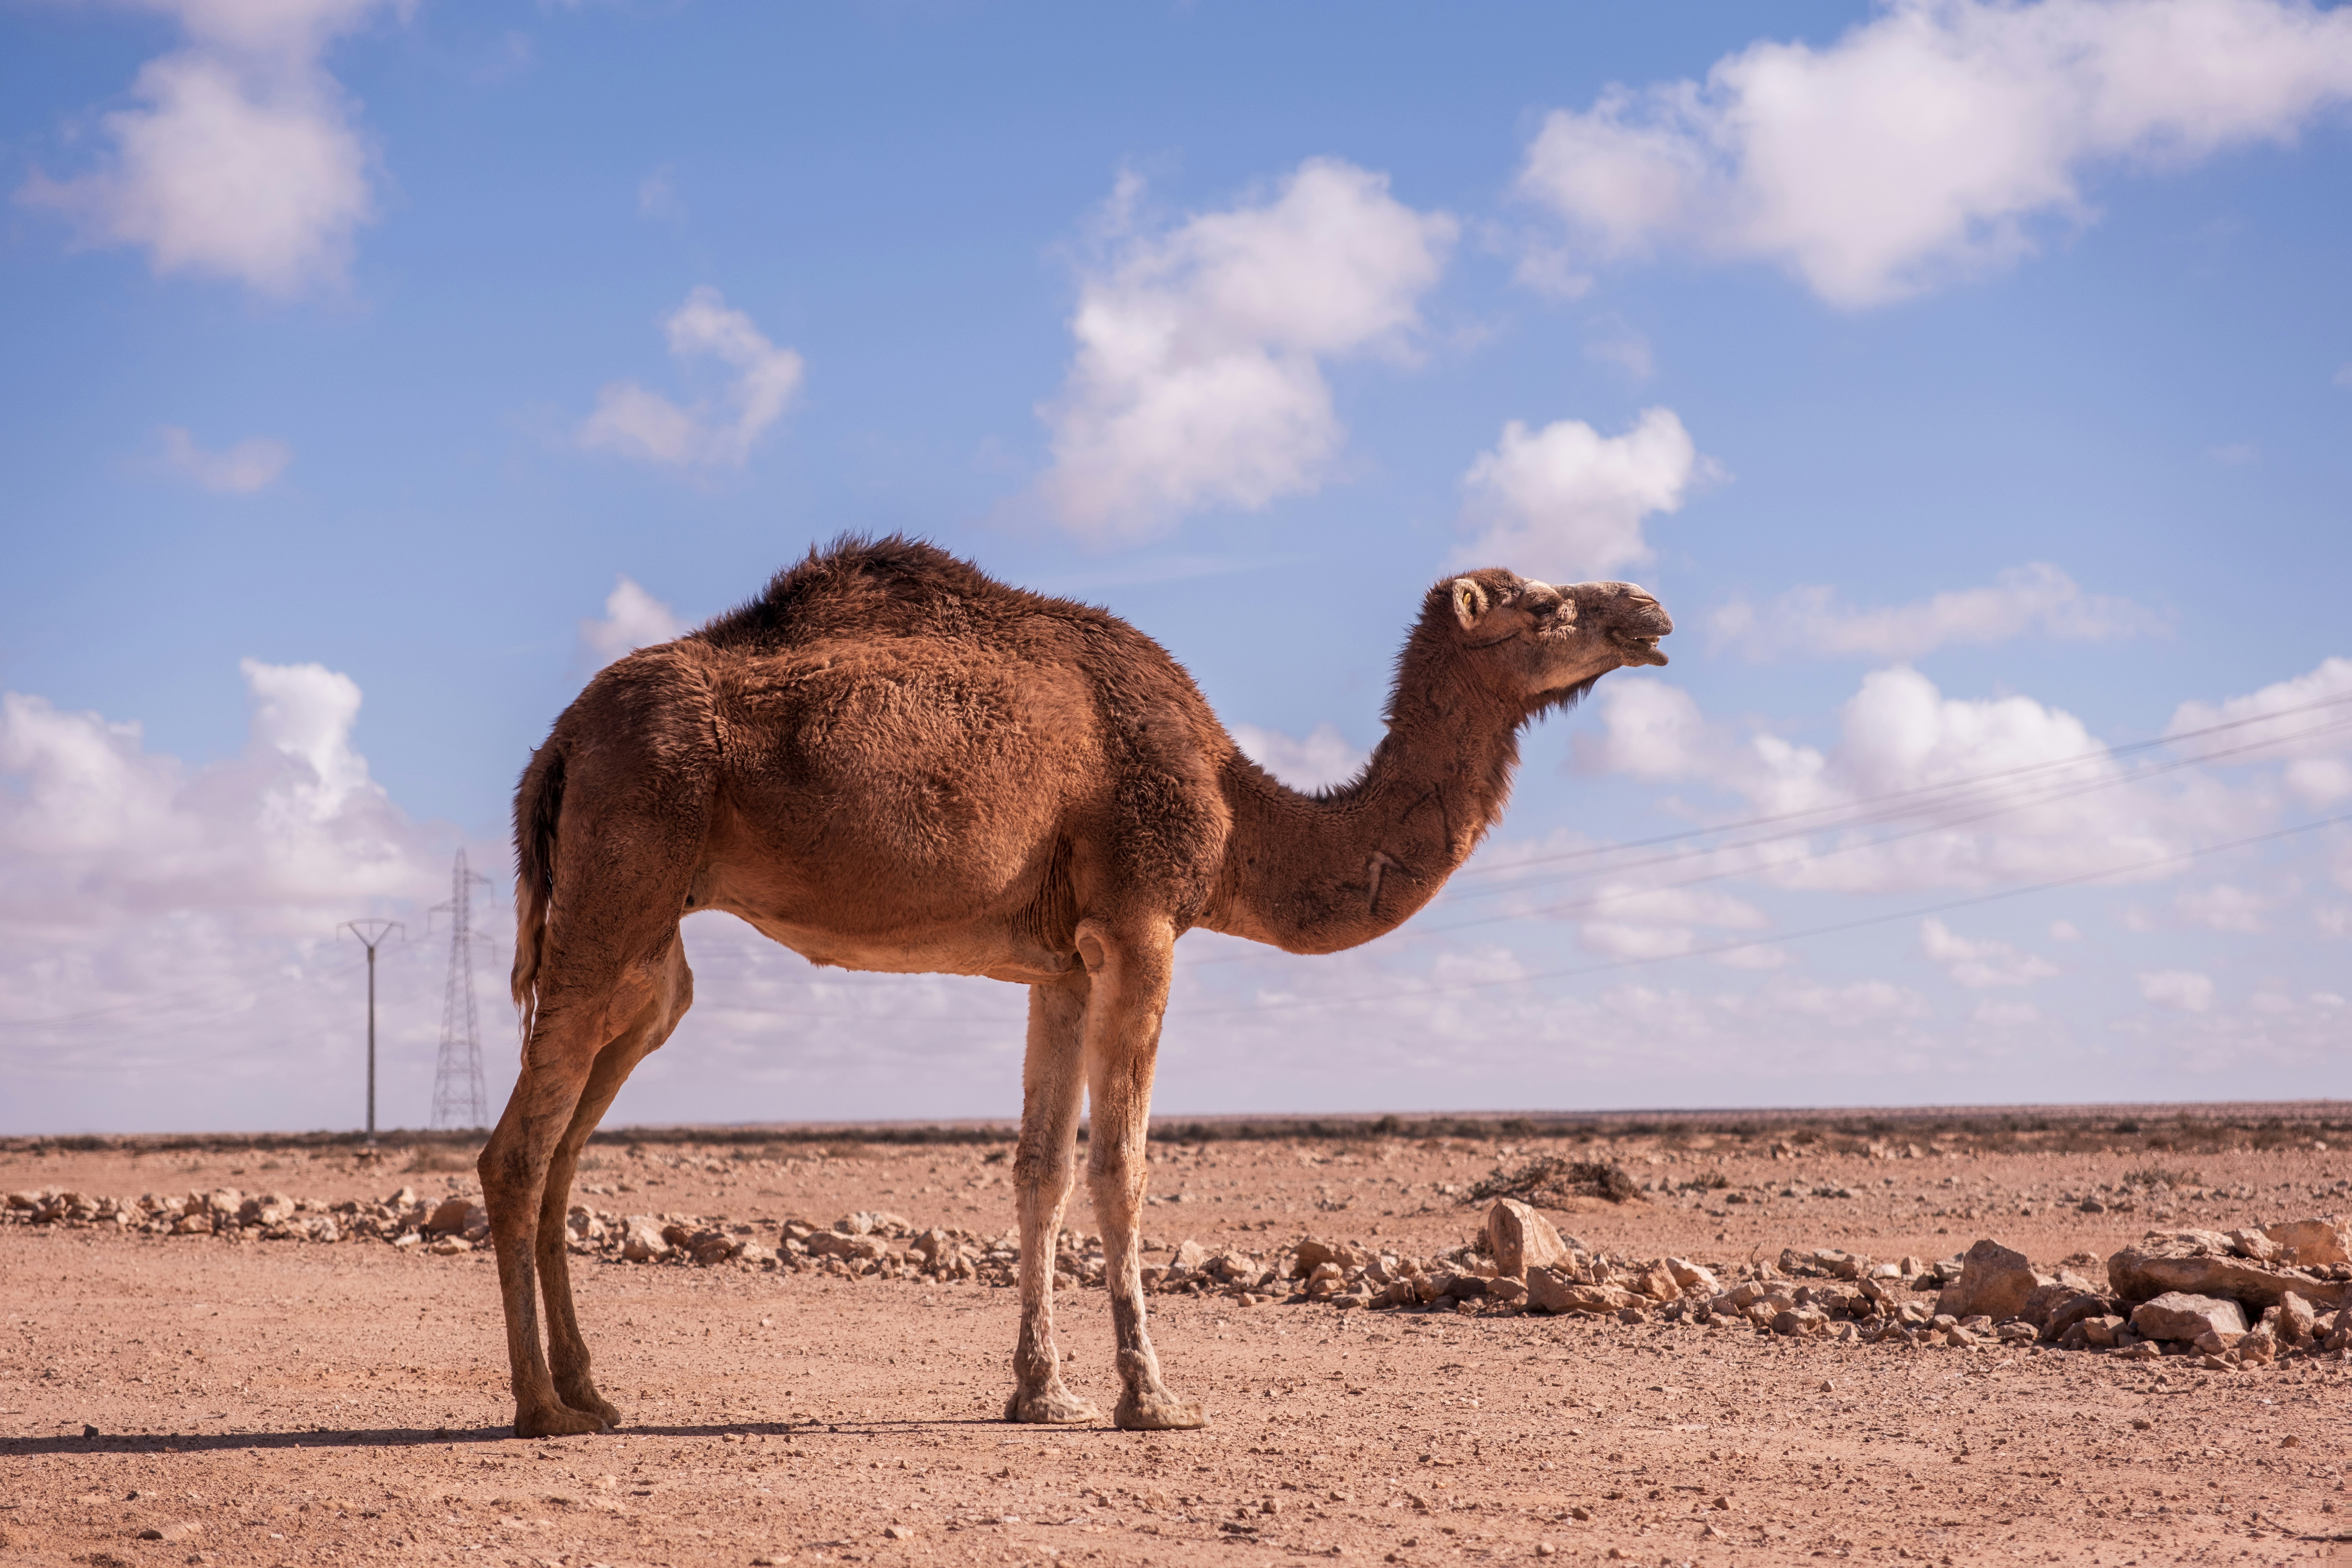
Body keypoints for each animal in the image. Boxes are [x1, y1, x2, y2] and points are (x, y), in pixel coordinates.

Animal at [483, 535, 1672, 1438]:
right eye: (1541, 604)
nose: (1649, 610)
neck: (1238, 816)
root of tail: (558, 739)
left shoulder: (1055, 966)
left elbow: (1039, 1170)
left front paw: (1040, 1392)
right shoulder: (1141, 927)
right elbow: (1122, 1169)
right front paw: (1152, 1397)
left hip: (647, 951)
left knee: (571, 1138)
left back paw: (593, 1391)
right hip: (623, 866)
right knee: (518, 1152)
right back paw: (541, 1406)